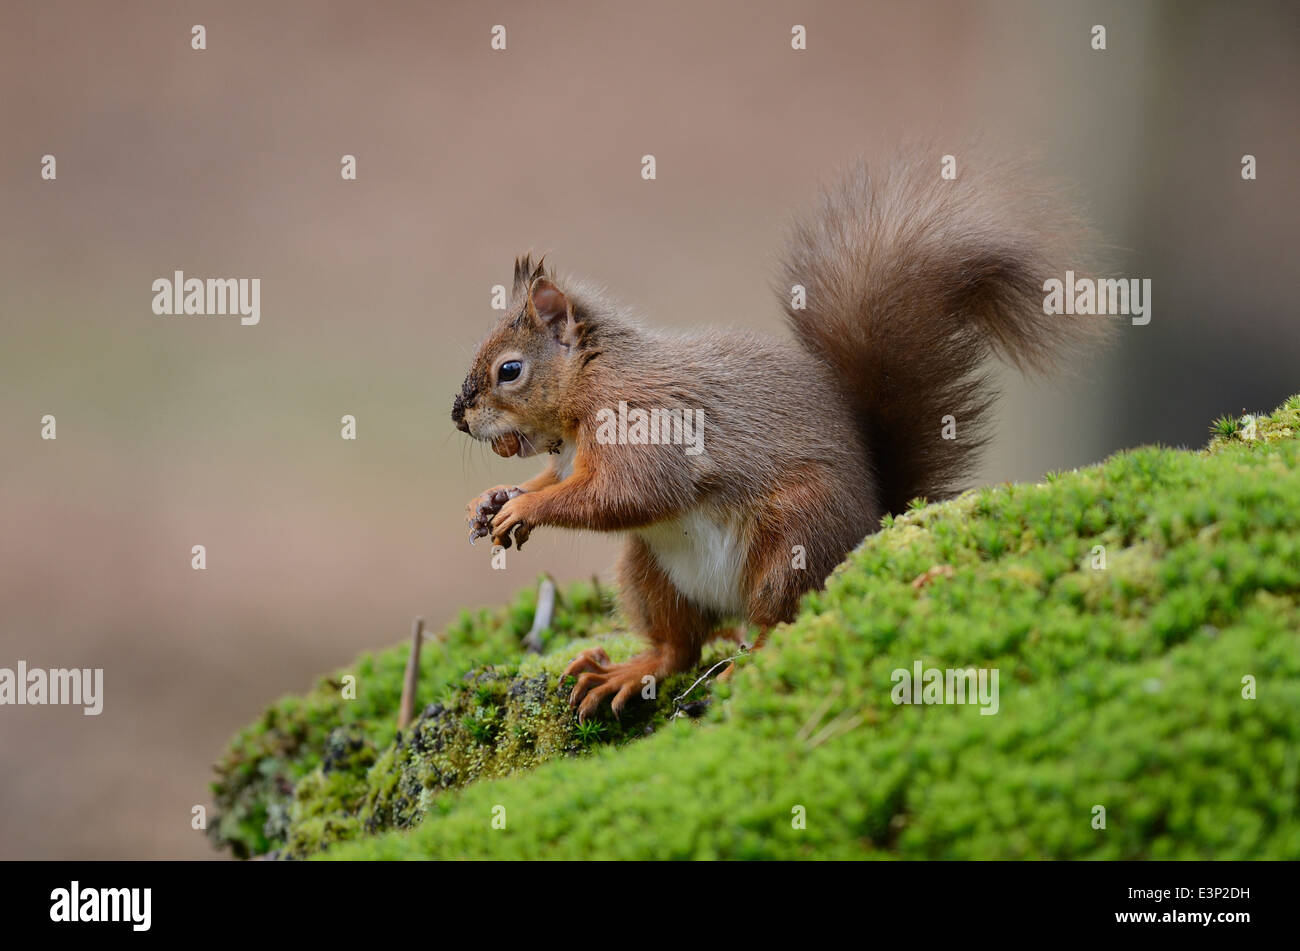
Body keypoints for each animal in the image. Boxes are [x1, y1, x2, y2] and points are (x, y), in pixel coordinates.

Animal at [452, 150, 1103, 721]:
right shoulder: (570, 457)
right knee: (680, 647)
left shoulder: (641, 420)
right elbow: (560, 481)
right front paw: (493, 500)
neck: (587, 389)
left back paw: (752, 660)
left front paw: (526, 508)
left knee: (783, 621)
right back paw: (628, 672)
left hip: (791, 539)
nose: (459, 416)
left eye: (509, 370)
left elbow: (626, 495)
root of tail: (874, 519)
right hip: (649, 569)